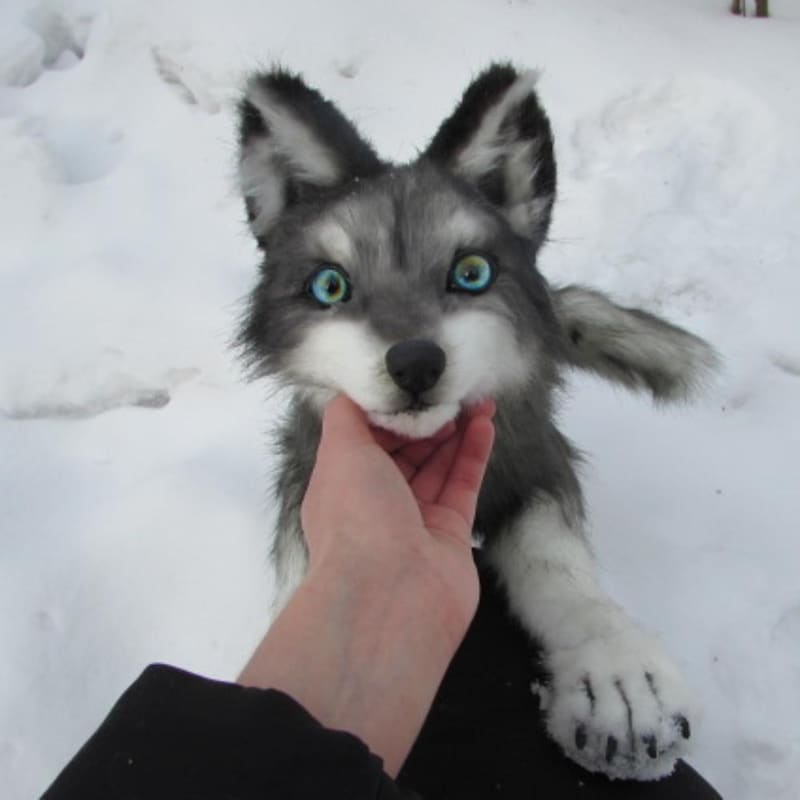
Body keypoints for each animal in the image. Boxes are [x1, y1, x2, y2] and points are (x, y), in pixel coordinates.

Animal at [235, 64, 716, 781]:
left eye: (471, 273)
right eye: (330, 287)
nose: (414, 363)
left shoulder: (536, 453)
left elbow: (555, 558)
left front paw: (617, 673)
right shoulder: (309, 469)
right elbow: (305, 566)